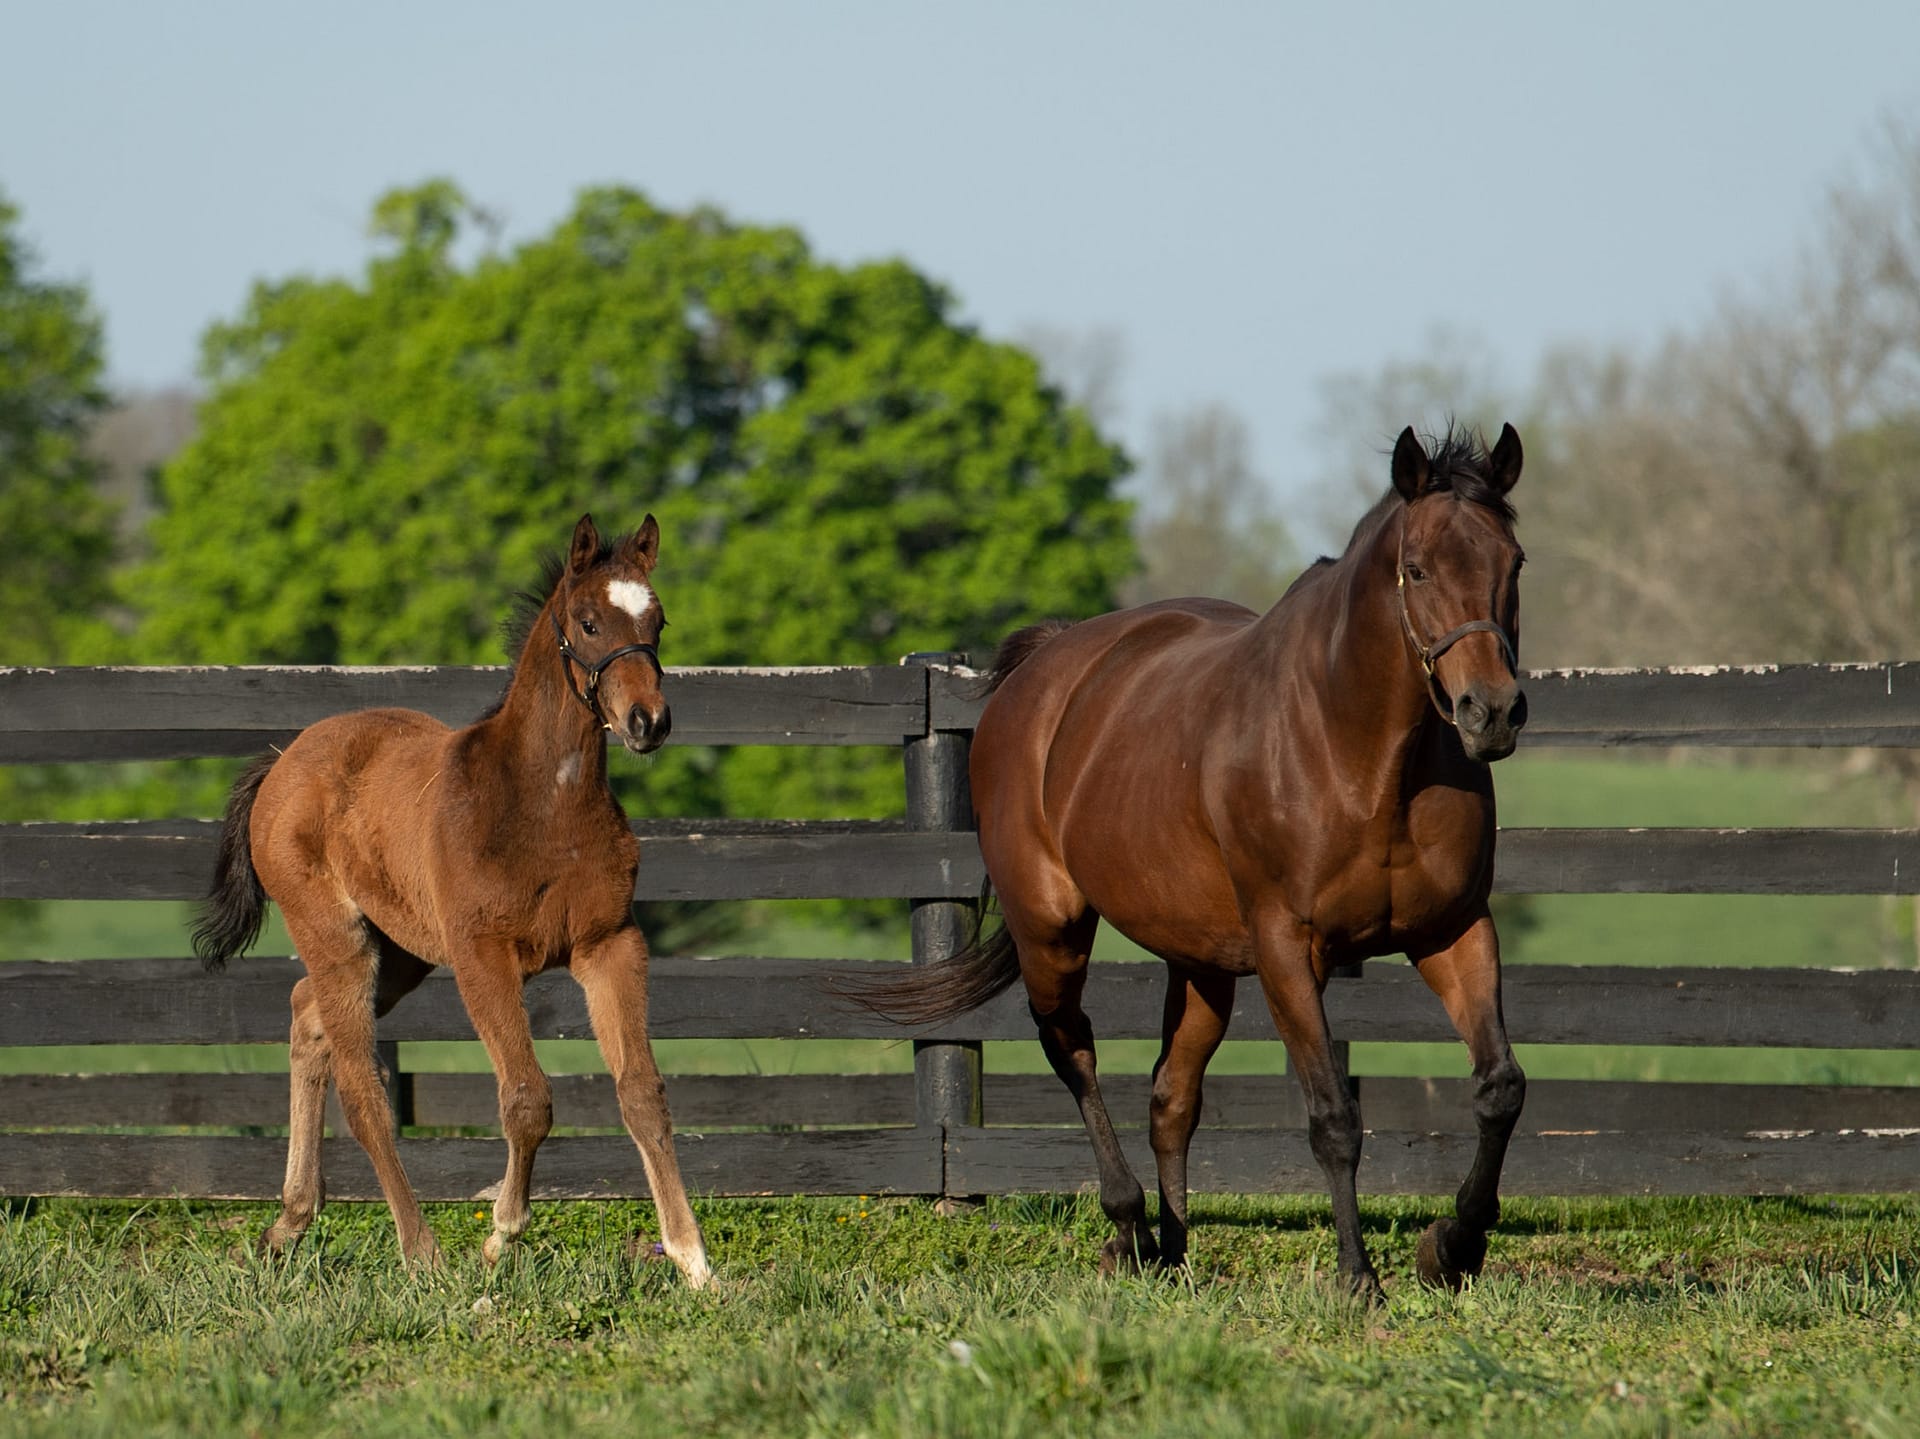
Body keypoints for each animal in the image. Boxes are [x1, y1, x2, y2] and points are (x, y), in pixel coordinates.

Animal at [192, 513, 710, 1287]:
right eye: (588, 622)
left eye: (659, 620)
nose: (649, 721)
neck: (541, 806)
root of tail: (284, 759)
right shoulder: (481, 955)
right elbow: (527, 1100)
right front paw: (500, 1236)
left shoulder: (611, 943)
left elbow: (643, 1092)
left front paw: (694, 1261)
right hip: (338, 938)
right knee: (363, 1092)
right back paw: (421, 1253)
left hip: (400, 952)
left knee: (306, 1017)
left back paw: (290, 1221)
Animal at [855, 423, 1528, 1300]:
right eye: (1417, 568)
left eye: (1514, 562)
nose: (1492, 711)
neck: (1360, 752)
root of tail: (1046, 667)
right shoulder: (1286, 949)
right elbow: (1333, 1117)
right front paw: (1357, 1277)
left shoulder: (1452, 930)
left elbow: (1499, 1086)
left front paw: (1453, 1246)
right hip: (1052, 926)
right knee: (1072, 1047)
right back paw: (1129, 1226)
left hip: (1200, 960)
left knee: (1171, 1093)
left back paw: (1173, 1249)